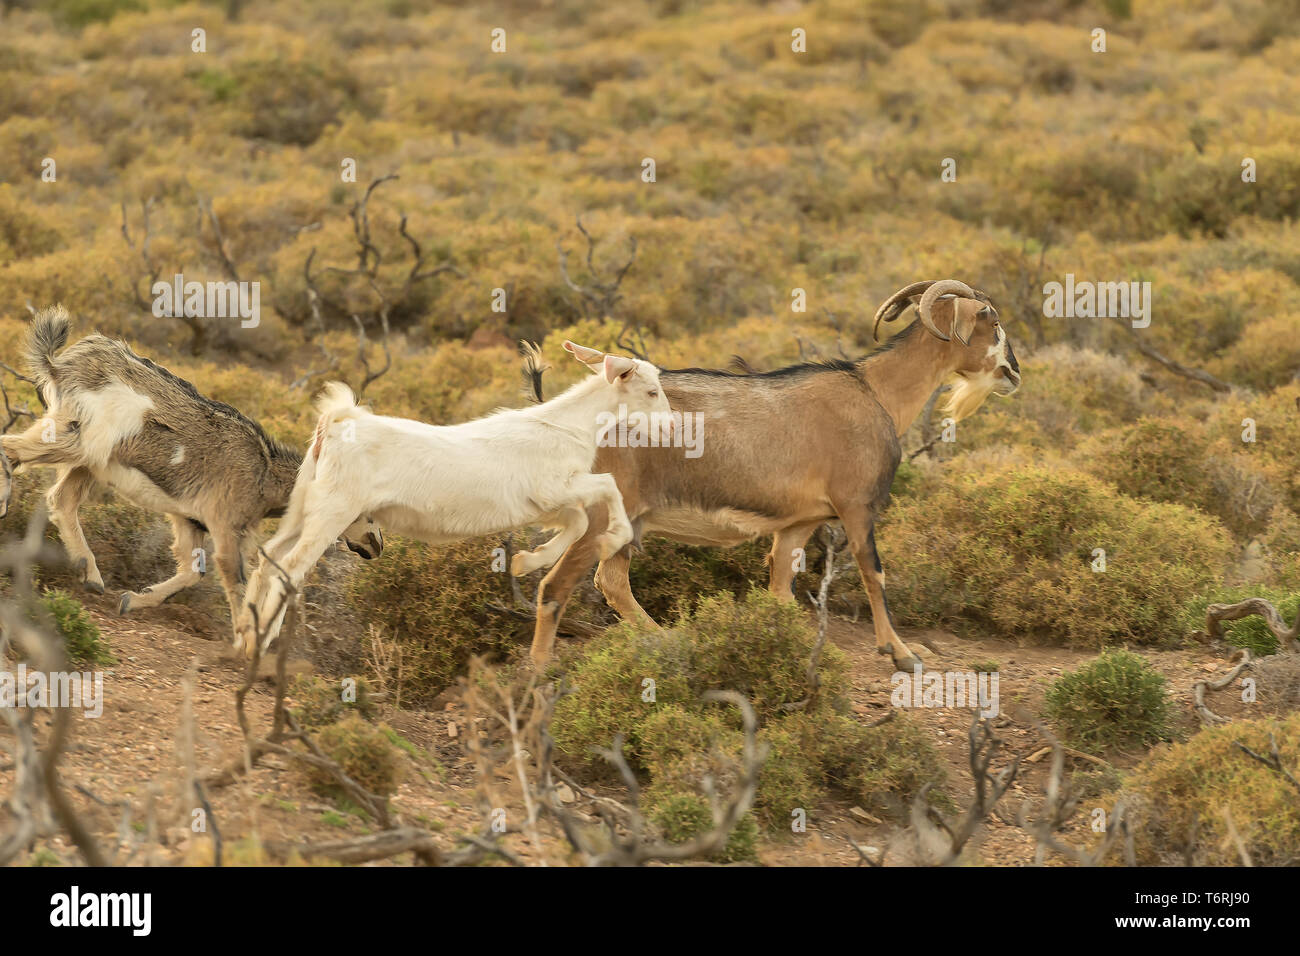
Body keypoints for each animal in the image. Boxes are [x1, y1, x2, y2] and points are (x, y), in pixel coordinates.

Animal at [0, 306, 383, 629]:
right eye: (364, 507)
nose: (376, 545)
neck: (265, 472)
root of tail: (60, 363)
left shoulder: (189, 518)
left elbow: (192, 571)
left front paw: (132, 600)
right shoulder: (225, 525)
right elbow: (234, 577)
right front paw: (245, 642)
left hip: (91, 461)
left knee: (60, 499)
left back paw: (90, 575)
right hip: (74, 437)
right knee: (10, 449)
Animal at [234, 341, 672, 656]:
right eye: (652, 391)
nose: (671, 426)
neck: (568, 427)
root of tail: (338, 422)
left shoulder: (545, 503)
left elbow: (577, 522)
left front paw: (524, 561)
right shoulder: (555, 486)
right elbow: (607, 487)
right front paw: (613, 538)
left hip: (303, 504)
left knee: (269, 556)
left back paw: (244, 634)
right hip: (333, 510)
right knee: (291, 566)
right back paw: (258, 642)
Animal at [528, 279, 1022, 671]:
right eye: (993, 322)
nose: (1013, 373)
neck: (875, 391)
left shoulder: (798, 525)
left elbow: (781, 590)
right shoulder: (857, 507)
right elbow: (874, 573)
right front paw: (901, 653)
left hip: (627, 522)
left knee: (610, 582)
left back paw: (668, 642)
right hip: (603, 516)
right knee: (556, 586)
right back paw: (541, 671)